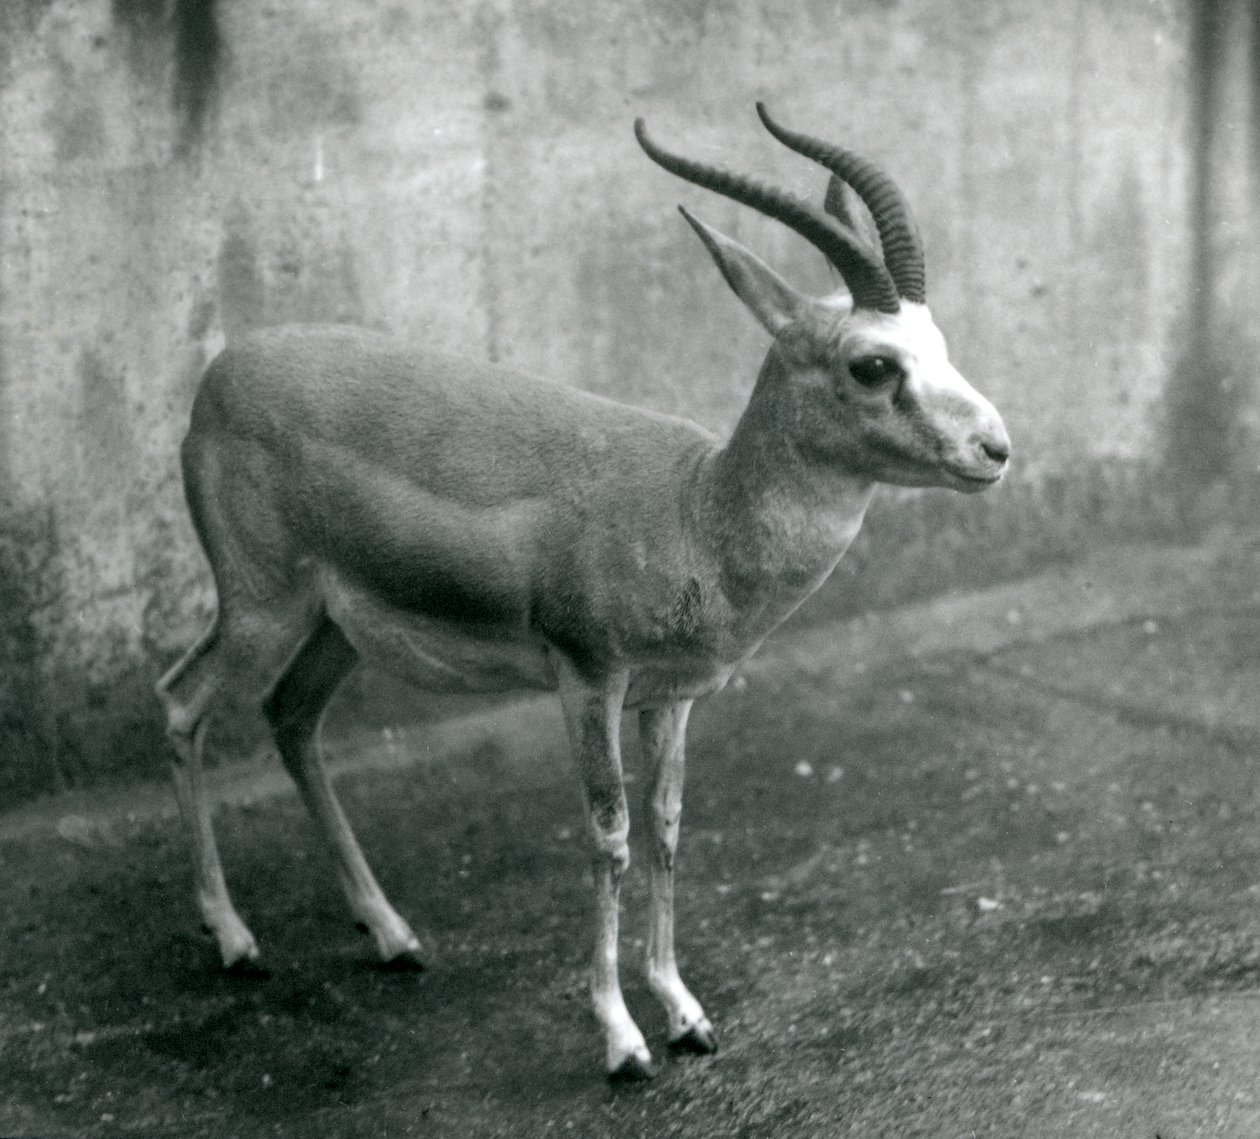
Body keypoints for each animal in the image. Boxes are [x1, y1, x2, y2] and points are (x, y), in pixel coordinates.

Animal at [157, 103, 1009, 1081]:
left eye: (940, 344)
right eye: (873, 364)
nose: (994, 447)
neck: (693, 511)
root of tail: (220, 374)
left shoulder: (672, 694)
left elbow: (668, 824)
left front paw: (685, 1012)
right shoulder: (587, 679)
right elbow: (609, 834)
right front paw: (622, 1038)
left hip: (336, 623)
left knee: (292, 716)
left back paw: (394, 933)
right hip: (260, 604)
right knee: (181, 701)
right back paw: (235, 939)